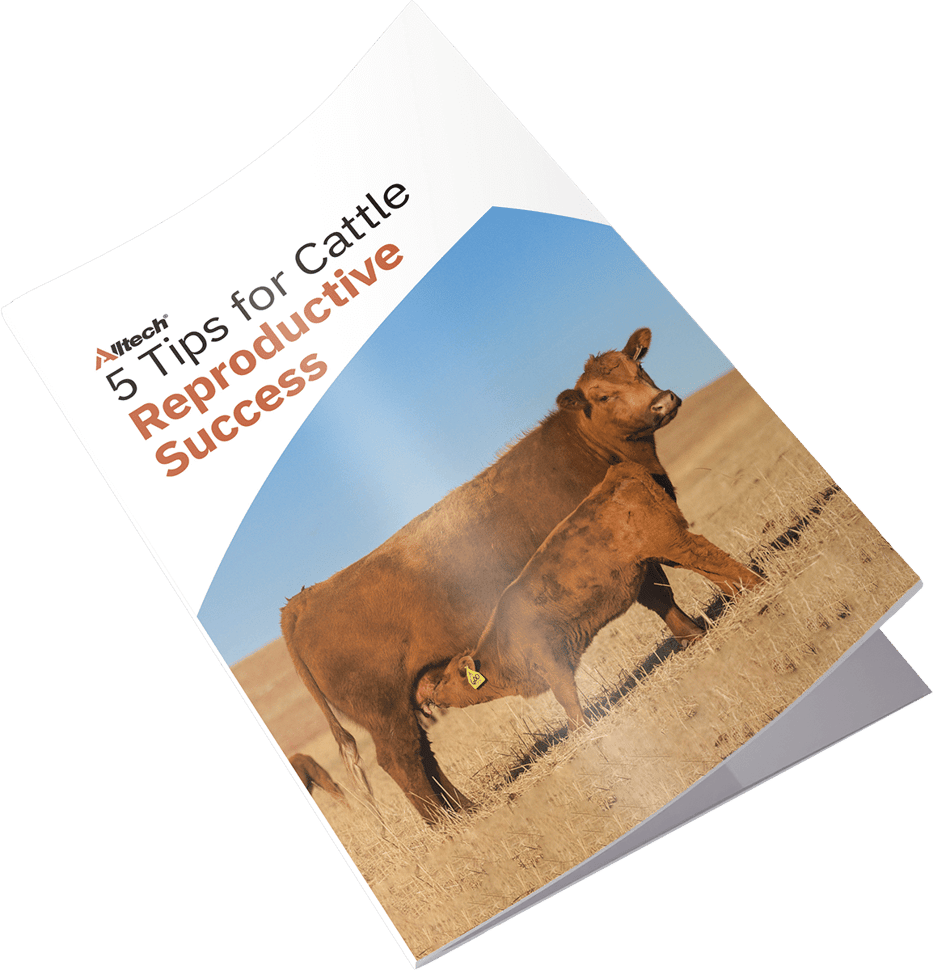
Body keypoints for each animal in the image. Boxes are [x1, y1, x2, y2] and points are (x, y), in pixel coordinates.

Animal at [282, 328, 705, 824]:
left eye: (639, 367)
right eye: (601, 394)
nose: (662, 402)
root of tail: (303, 600)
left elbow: (662, 593)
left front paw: (693, 632)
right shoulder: (621, 546)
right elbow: (658, 594)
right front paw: (692, 634)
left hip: (406, 700)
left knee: (423, 755)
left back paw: (464, 809)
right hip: (383, 712)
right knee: (400, 760)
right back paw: (447, 825)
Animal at [430, 458, 763, 729]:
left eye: (446, 678)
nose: (432, 695)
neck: (502, 641)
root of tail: (614, 477)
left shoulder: (552, 660)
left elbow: (566, 696)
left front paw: (579, 730)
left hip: (673, 544)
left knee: (707, 556)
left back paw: (755, 584)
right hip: (662, 556)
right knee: (701, 574)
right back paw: (733, 600)